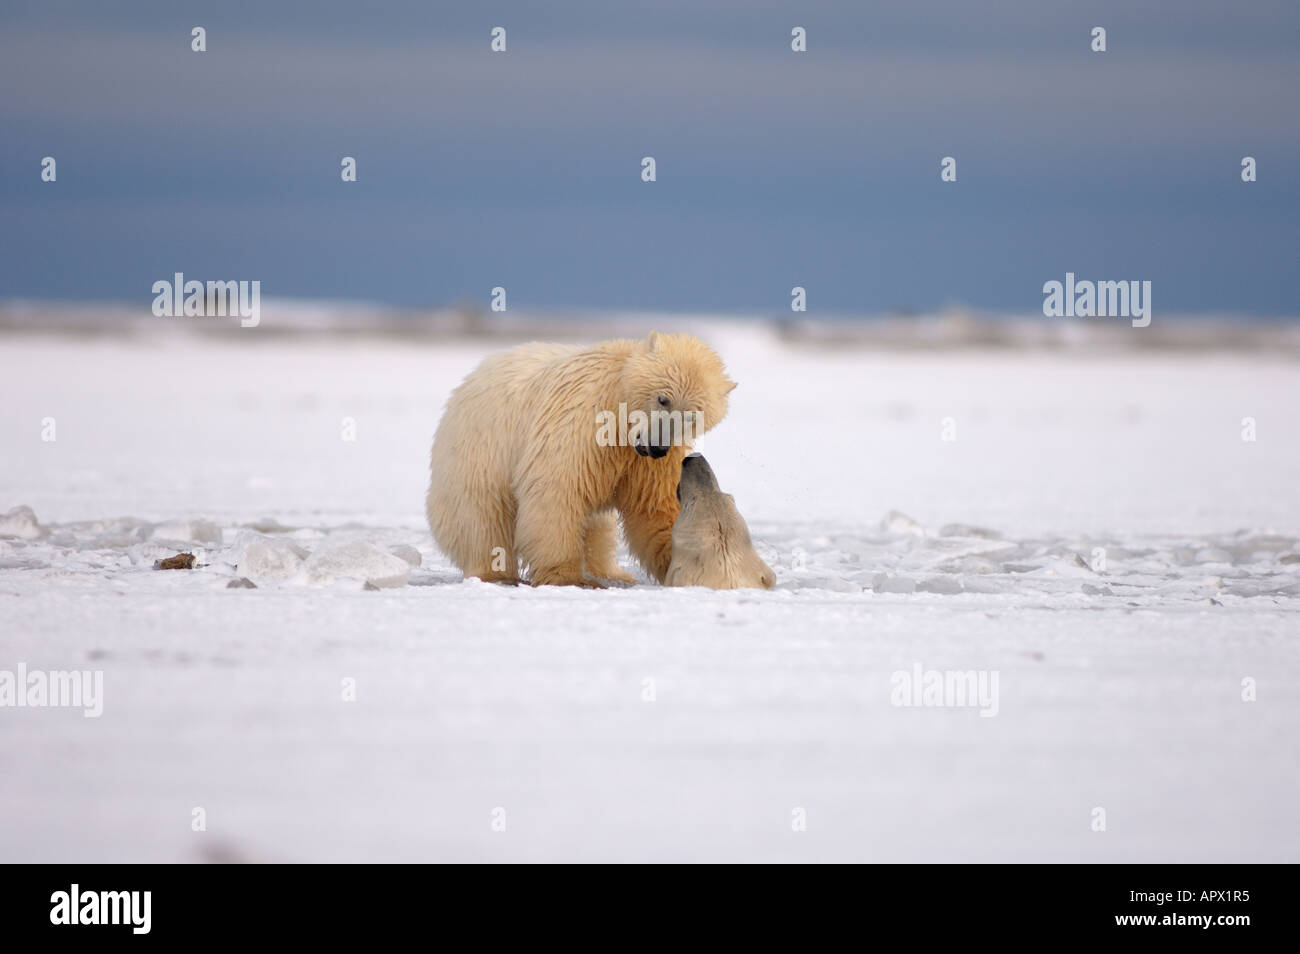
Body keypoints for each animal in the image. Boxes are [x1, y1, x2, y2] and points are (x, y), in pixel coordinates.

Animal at [426, 332, 736, 587]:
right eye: (663, 399)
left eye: (692, 415)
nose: (656, 446)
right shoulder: (584, 419)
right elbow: (558, 488)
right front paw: (568, 576)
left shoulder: (648, 460)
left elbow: (654, 505)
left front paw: (678, 558)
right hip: (480, 449)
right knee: (483, 518)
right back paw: (496, 573)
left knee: (598, 527)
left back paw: (612, 572)